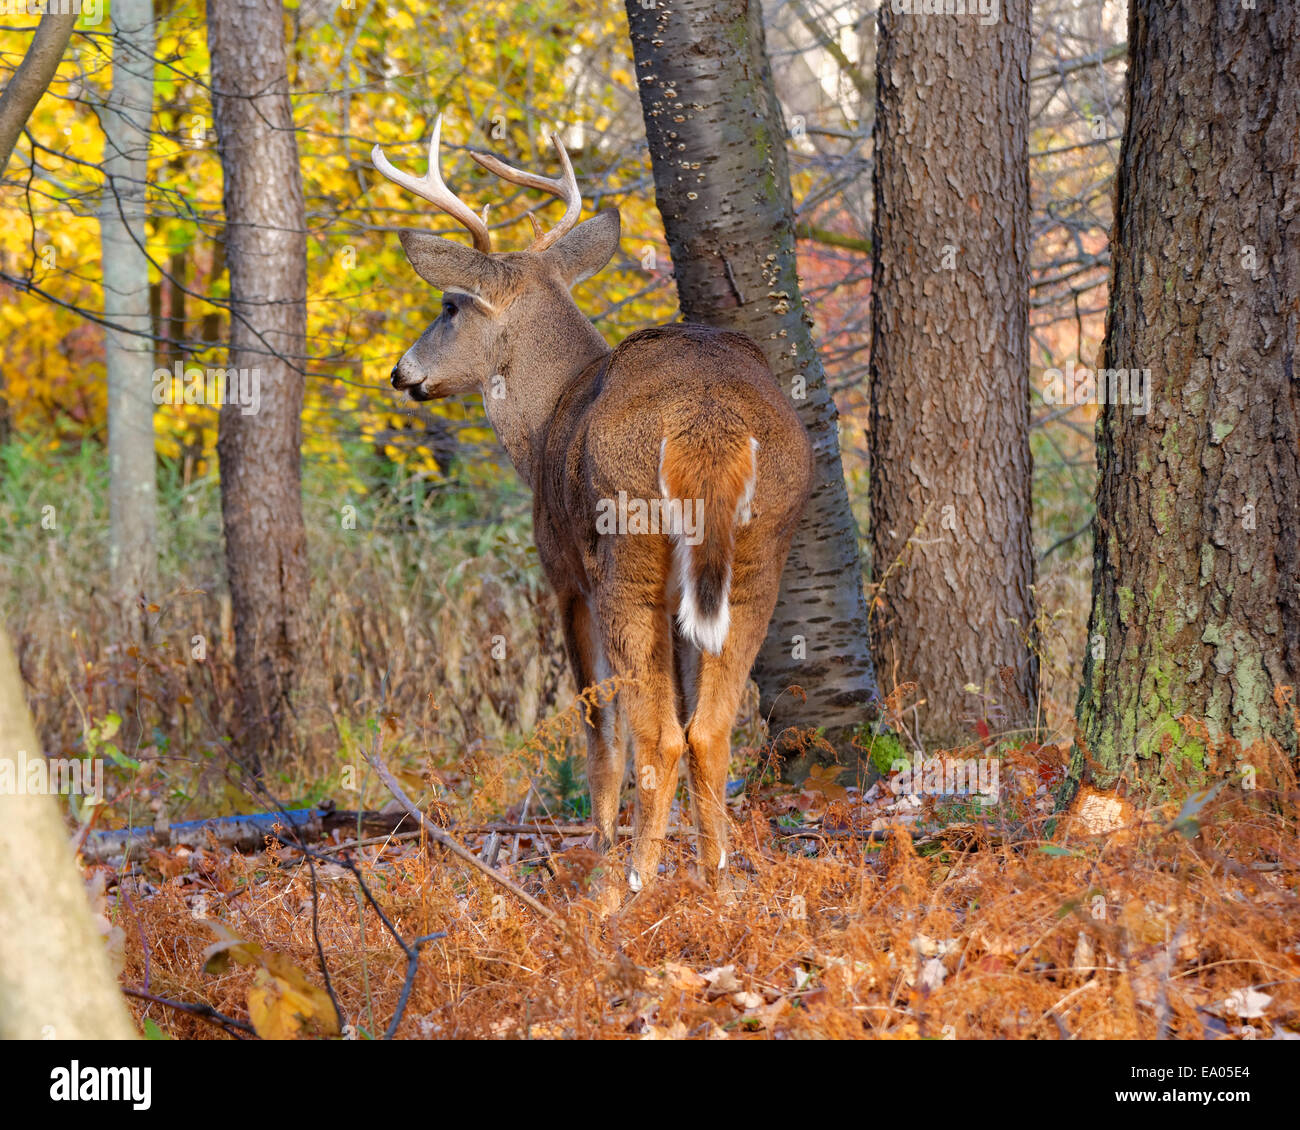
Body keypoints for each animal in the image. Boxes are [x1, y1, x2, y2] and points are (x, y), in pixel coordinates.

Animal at [374, 116, 812, 903]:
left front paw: (601, 847)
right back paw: (718, 882)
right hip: (761, 548)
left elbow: (596, 725)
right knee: (709, 730)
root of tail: (706, 422)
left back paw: (626, 886)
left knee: (657, 734)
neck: (546, 416)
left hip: (624, 551)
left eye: (450, 306)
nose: (402, 372)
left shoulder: (561, 575)